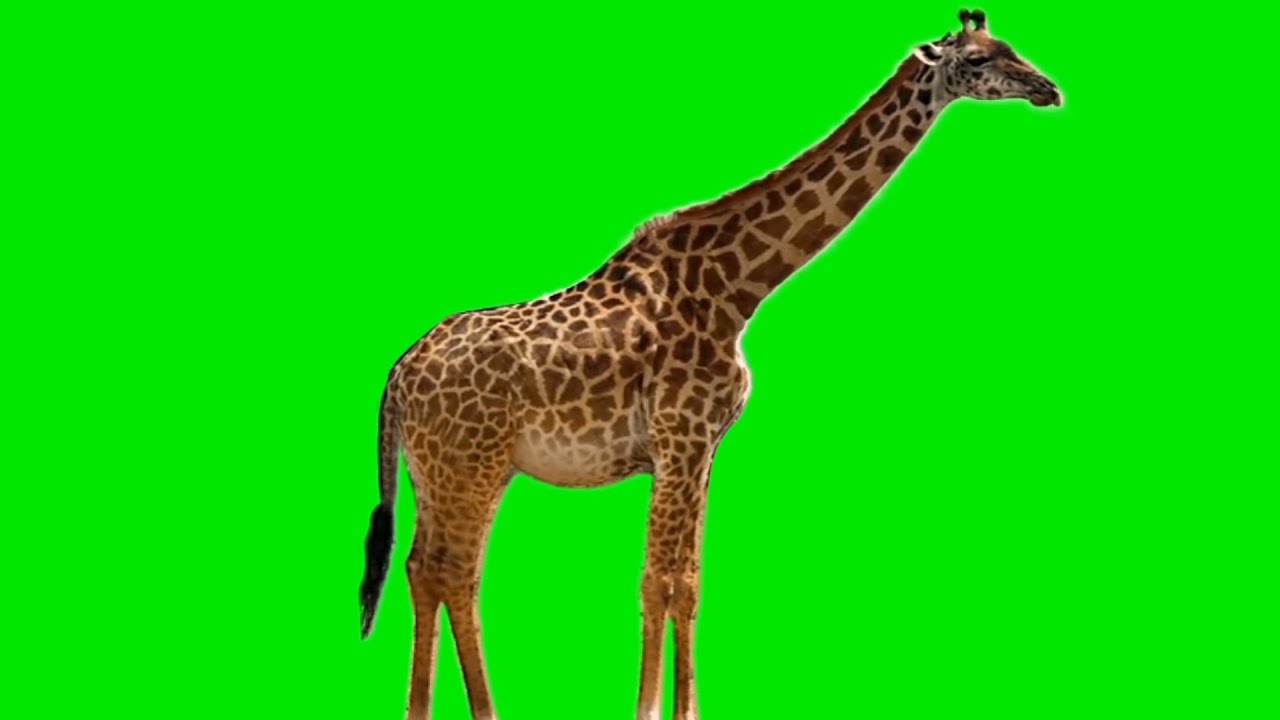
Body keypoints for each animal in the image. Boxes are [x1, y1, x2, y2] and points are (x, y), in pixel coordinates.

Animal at [360, 10, 1060, 720]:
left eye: (1007, 46)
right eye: (977, 60)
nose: (1049, 90)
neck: (738, 287)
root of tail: (398, 375)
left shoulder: (703, 447)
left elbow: (689, 581)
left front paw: (686, 709)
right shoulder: (679, 436)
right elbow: (657, 580)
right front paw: (649, 710)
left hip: (443, 471)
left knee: (427, 568)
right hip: (470, 466)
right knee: (452, 571)